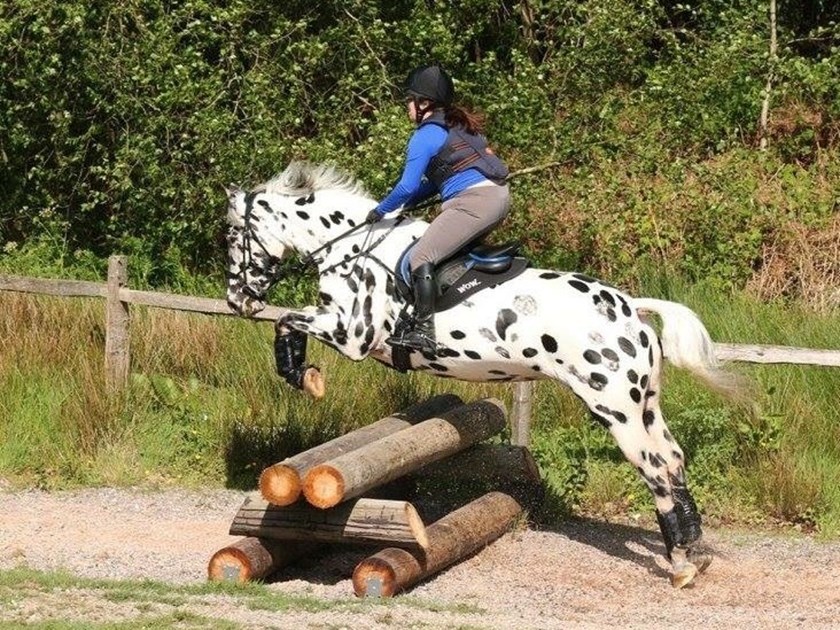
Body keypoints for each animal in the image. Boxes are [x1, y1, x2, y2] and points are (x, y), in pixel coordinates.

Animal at [225, 161, 740, 588]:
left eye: (232, 238)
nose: (237, 301)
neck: (350, 246)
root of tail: (631, 307)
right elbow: (287, 320)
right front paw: (304, 372)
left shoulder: (352, 334)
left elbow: (287, 318)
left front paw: (301, 375)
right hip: (645, 405)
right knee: (673, 459)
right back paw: (694, 549)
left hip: (615, 410)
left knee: (655, 469)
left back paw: (680, 563)